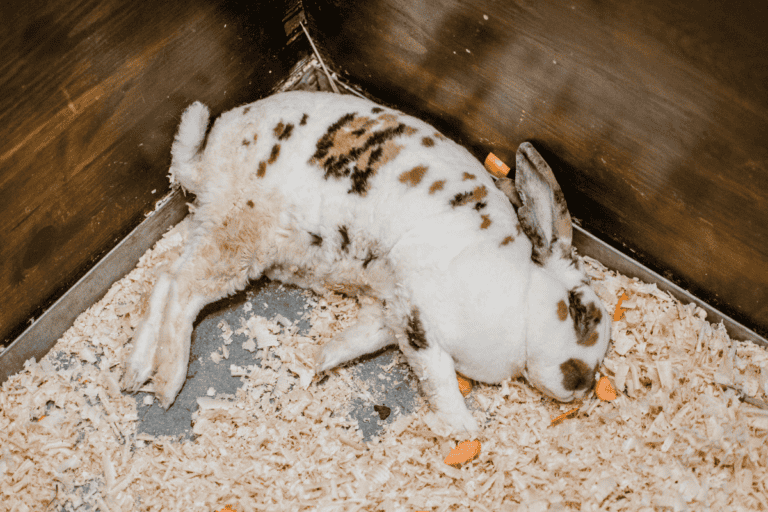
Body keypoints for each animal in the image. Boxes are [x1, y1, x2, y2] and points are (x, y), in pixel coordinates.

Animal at [121, 90, 612, 434]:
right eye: (580, 312)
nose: (579, 382)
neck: (521, 297)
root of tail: (208, 162)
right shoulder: (417, 319)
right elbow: (440, 379)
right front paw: (465, 429)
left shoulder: (388, 312)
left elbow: (354, 342)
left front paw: (313, 361)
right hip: (241, 238)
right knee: (183, 290)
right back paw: (167, 382)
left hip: (216, 230)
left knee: (166, 277)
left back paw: (134, 372)